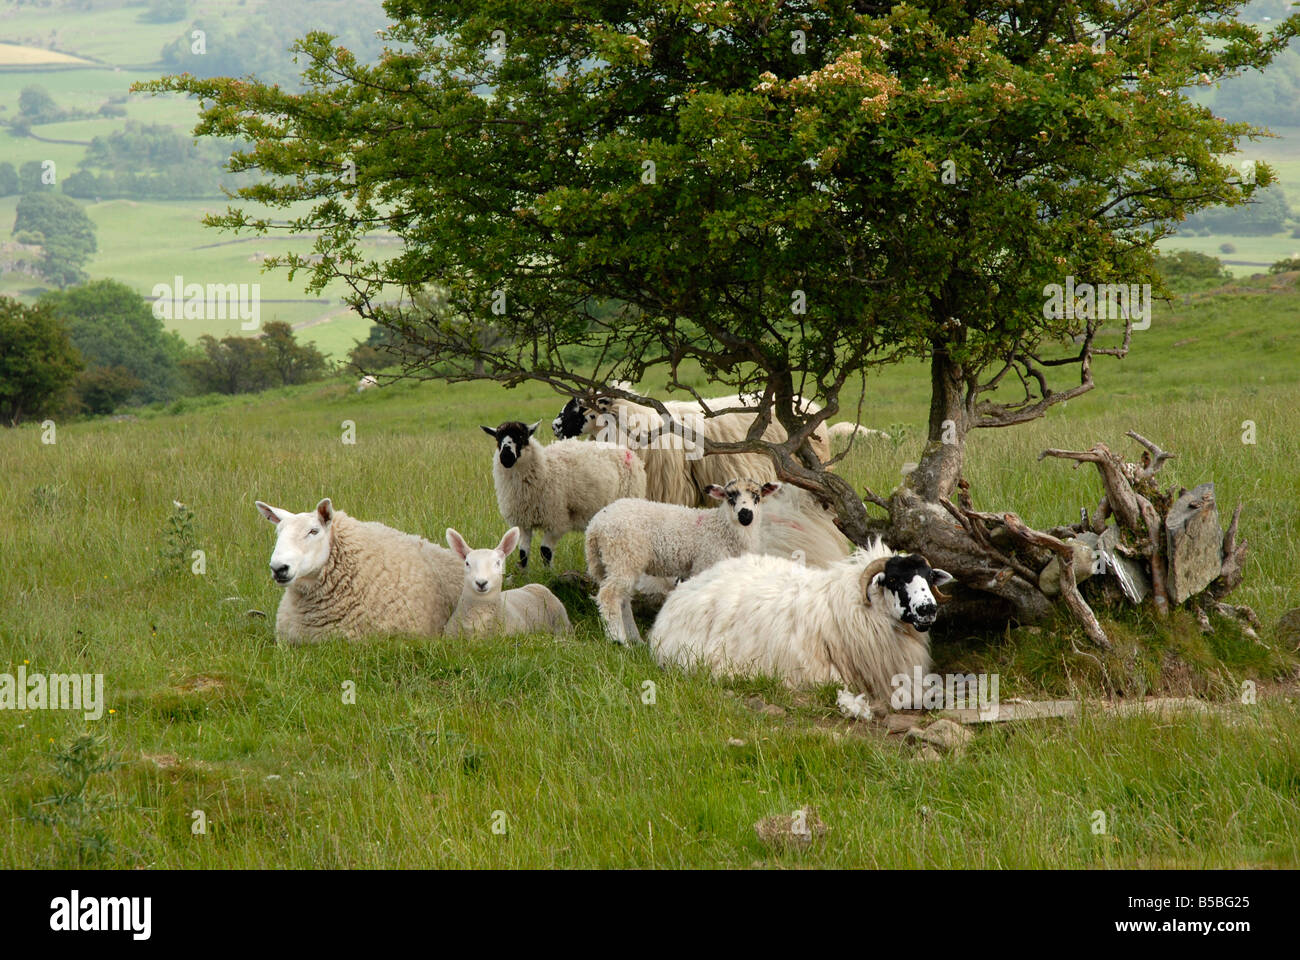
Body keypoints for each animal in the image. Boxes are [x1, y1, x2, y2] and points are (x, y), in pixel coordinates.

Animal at [481, 420, 647, 569]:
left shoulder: (556, 520)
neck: (545, 468)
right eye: (498, 438)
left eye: (521, 437)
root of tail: (627, 451)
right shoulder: (523, 522)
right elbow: (523, 552)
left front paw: (548, 575)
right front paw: (523, 574)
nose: (506, 457)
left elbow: (545, 551)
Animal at [585, 478, 780, 644]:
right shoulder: (705, 562)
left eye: (757, 497)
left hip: (613, 561)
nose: (745, 515)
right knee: (609, 596)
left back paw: (635, 639)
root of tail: (595, 526)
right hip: (623, 554)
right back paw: (618, 640)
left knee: (623, 599)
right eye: (730, 497)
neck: (721, 527)